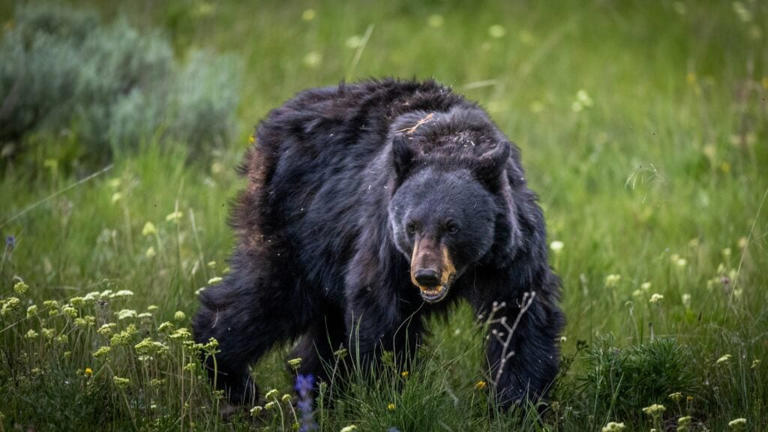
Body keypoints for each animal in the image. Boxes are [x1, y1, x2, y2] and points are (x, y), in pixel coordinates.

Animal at [193, 78, 564, 409]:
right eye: (411, 226)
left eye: (452, 227)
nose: (426, 275)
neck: (452, 144)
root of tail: (267, 128)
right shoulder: (385, 241)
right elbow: (382, 313)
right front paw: (387, 390)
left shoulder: (512, 252)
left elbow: (522, 316)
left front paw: (519, 403)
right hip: (295, 225)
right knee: (269, 295)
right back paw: (231, 377)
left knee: (322, 325)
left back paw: (316, 390)